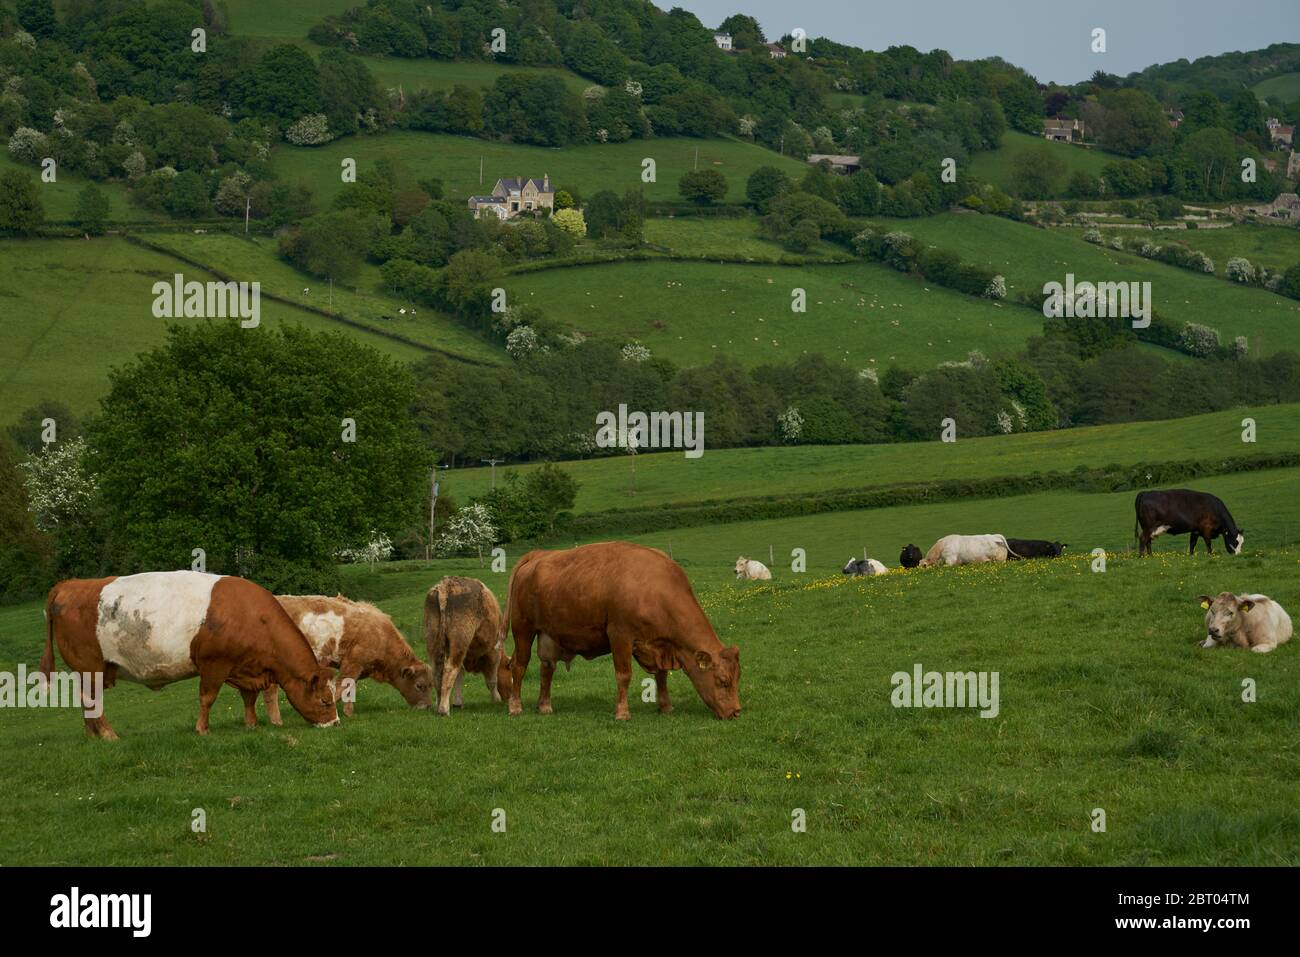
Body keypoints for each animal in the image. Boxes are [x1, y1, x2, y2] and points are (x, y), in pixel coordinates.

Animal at [39, 571, 338, 738]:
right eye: (325, 700)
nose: (334, 724)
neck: (253, 618)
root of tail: (69, 585)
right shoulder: (214, 664)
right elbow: (207, 698)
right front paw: (202, 729)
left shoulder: (245, 667)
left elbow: (249, 697)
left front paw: (251, 725)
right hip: (91, 668)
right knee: (93, 701)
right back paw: (109, 734)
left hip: (87, 672)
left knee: (86, 701)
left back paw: (93, 736)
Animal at [261, 595, 433, 722]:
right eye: (419, 685)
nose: (428, 707)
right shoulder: (352, 664)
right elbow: (340, 689)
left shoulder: (358, 668)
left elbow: (350, 689)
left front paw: (349, 713)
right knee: (271, 691)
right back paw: (277, 721)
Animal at [423, 577, 513, 716]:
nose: (508, 698)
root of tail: (446, 584)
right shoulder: (493, 652)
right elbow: (492, 680)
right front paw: (496, 699)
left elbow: (459, 675)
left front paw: (457, 702)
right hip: (460, 641)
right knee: (449, 669)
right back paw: (443, 709)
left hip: (434, 641)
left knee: (437, 671)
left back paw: (438, 705)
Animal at [504, 542, 741, 720]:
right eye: (723, 681)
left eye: (738, 678)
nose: (736, 712)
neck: (655, 590)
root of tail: (539, 554)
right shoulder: (620, 635)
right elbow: (624, 675)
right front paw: (622, 712)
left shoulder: (659, 645)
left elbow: (662, 676)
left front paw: (666, 706)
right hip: (523, 629)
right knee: (519, 666)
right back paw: (515, 706)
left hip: (548, 635)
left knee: (547, 668)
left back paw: (545, 706)